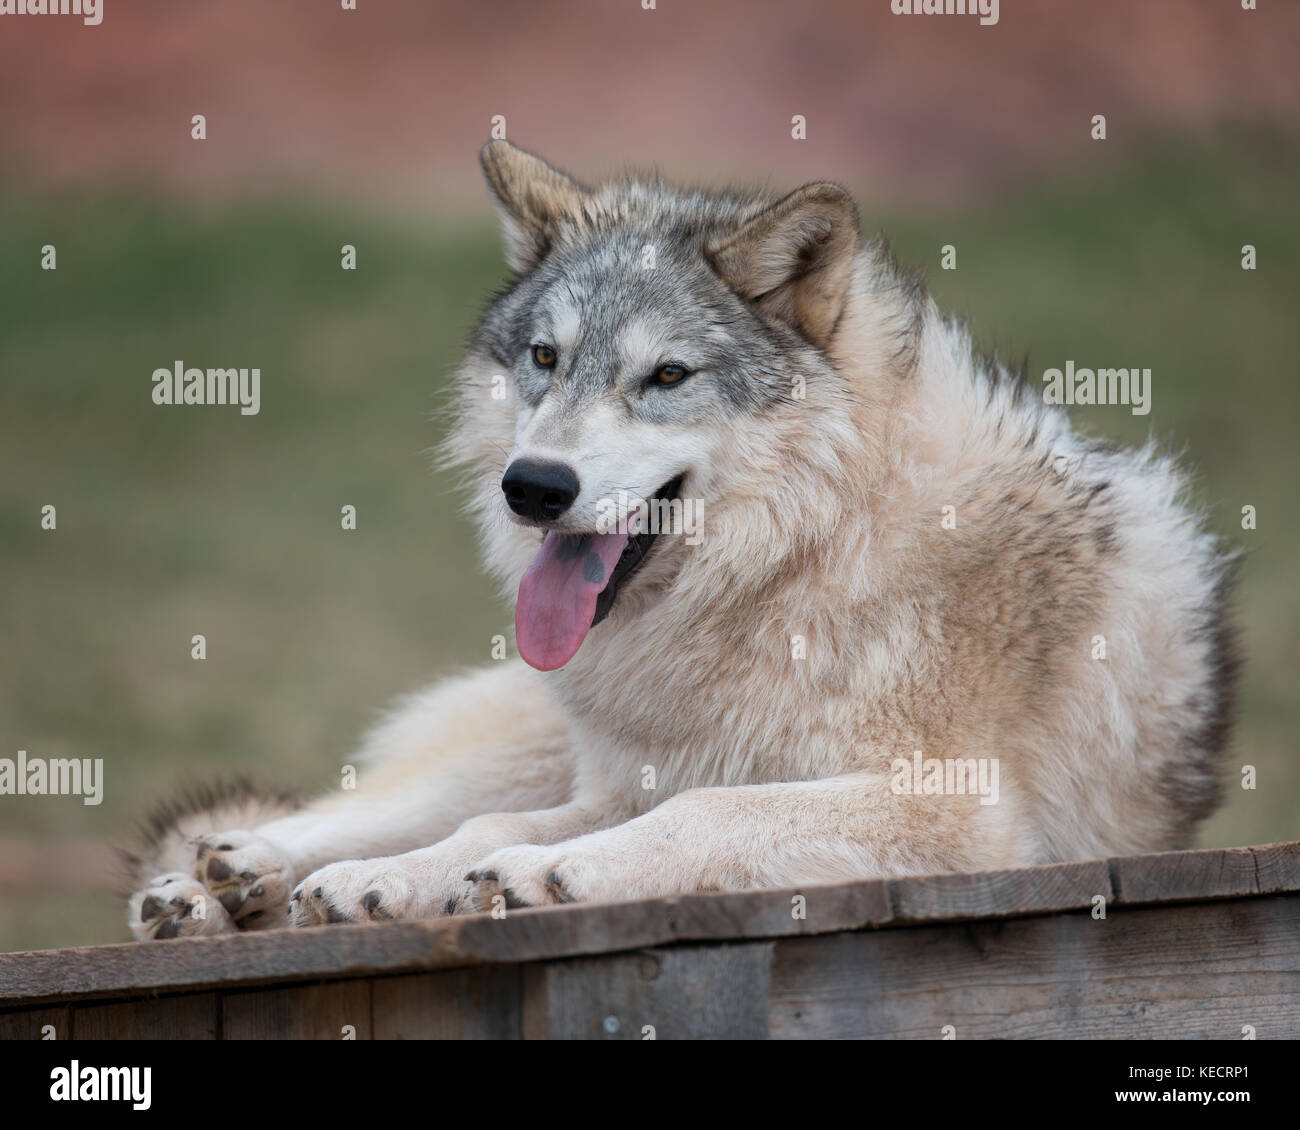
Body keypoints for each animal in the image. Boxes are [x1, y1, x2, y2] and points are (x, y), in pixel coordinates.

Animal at [125, 141, 1237, 939]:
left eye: (666, 376)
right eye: (545, 358)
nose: (534, 487)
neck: (800, 563)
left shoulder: (952, 810)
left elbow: (704, 812)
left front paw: (541, 876)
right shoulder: (621, 781)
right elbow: (492, 832)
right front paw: (398, 882)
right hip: (519, 751)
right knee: (370, 809)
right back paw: (219, 882)